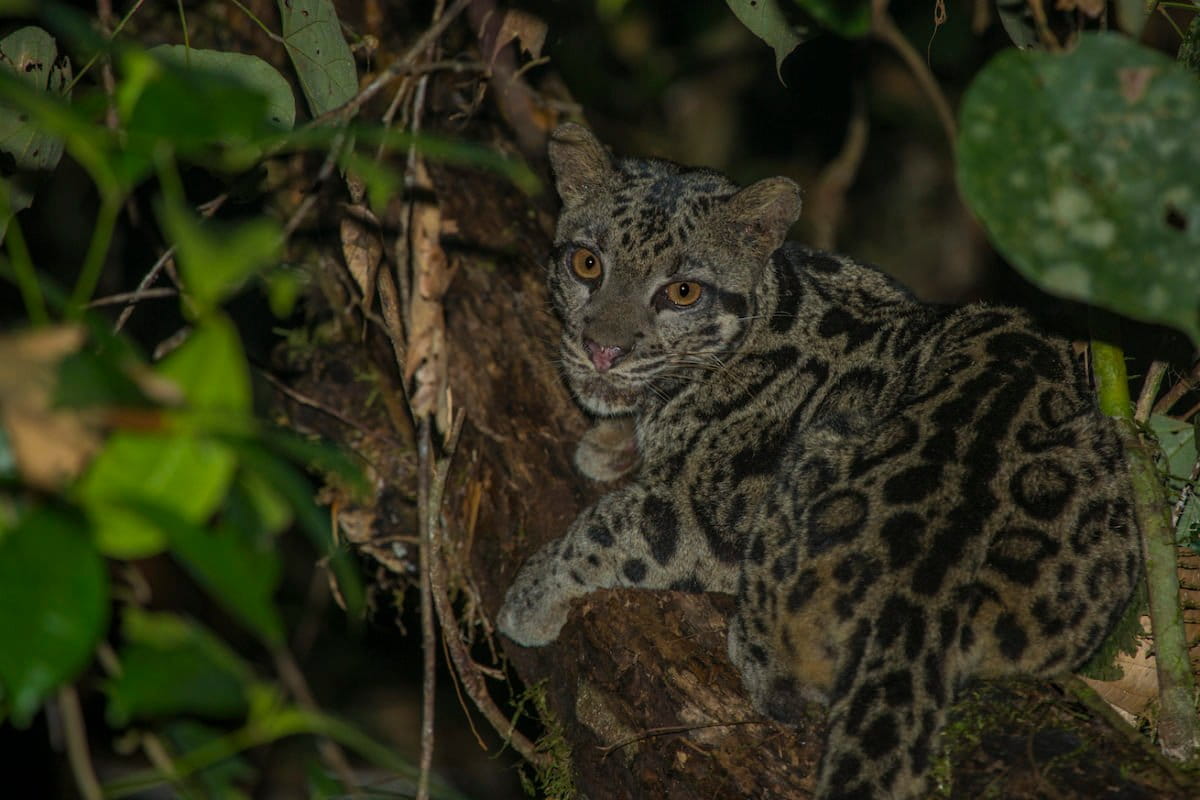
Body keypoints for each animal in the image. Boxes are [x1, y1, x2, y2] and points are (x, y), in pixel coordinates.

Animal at [497, 122, 1141, 800]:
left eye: (682, 292)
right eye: (587, 263)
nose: (602, 349)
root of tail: (925, 589)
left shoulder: (706, 517)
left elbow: (604, 529)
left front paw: (531, 593)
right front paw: (612, 437)